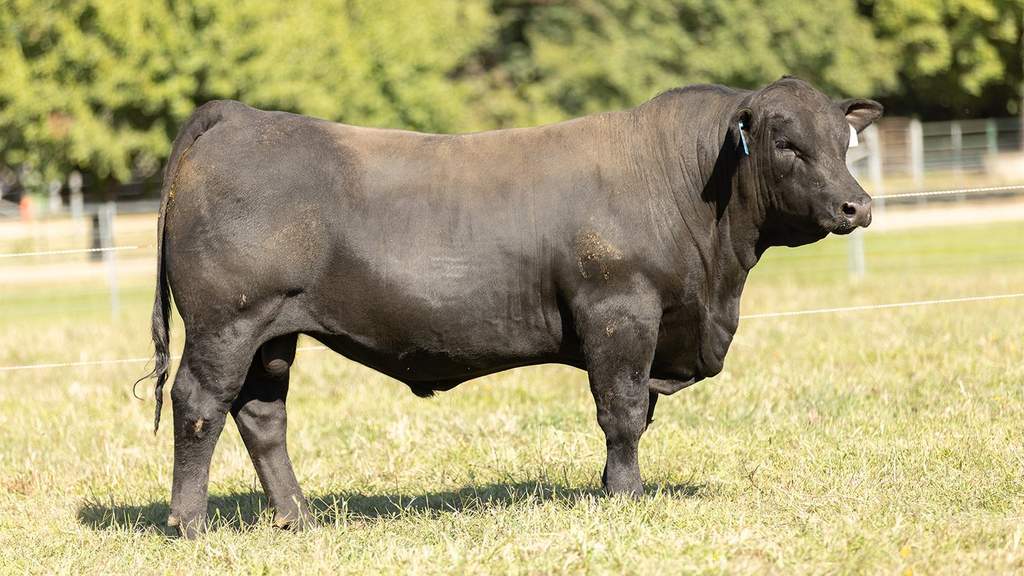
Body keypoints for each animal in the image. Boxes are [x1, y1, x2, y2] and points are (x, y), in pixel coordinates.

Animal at [137, 76, 880, 537]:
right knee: (200, 404)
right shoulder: (619, 312)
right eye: (788, 143)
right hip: (227, 322)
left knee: (262, 415)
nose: (858, 205)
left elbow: (635, 414)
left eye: (843, 142)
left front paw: (611, 485)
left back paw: (298, 517)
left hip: (273, 333)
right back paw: (190, 523)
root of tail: (240, 116)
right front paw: (625, 495)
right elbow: (622, 412)